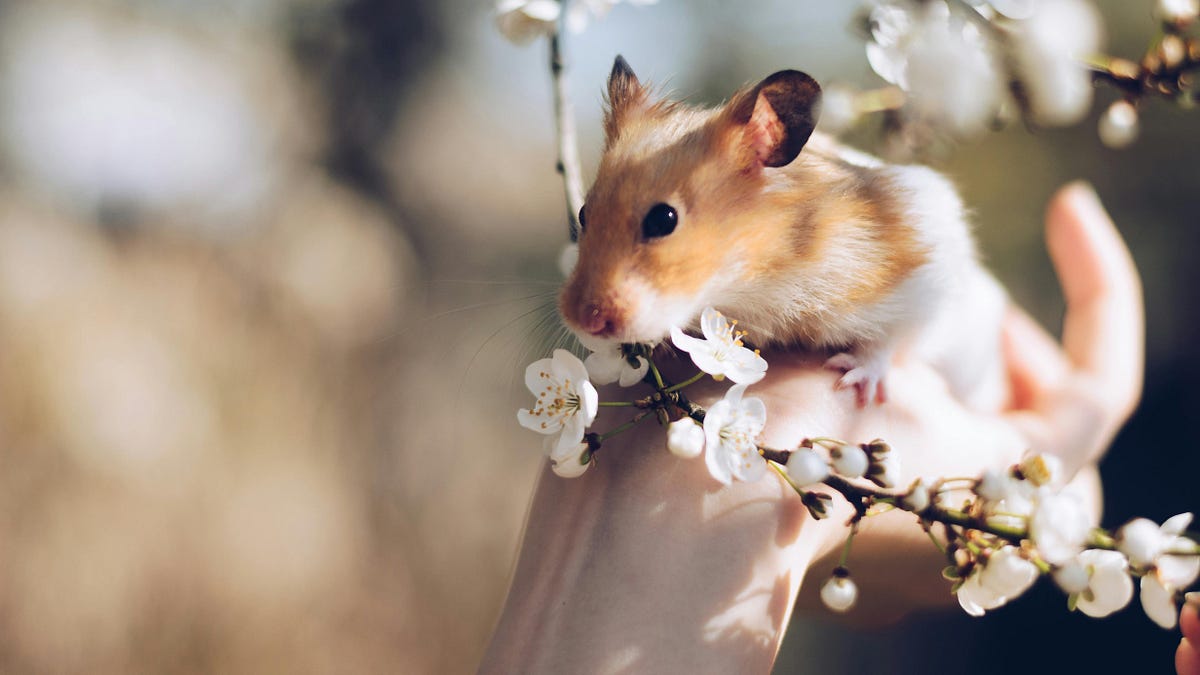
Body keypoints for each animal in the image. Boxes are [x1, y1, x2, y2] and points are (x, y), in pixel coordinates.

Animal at [559, 56, 1006, 409]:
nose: (583, 320)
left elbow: (891, 339)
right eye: (583, 213)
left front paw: (853, 381)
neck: (758, 277)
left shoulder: (927, 271)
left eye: (663, 220)